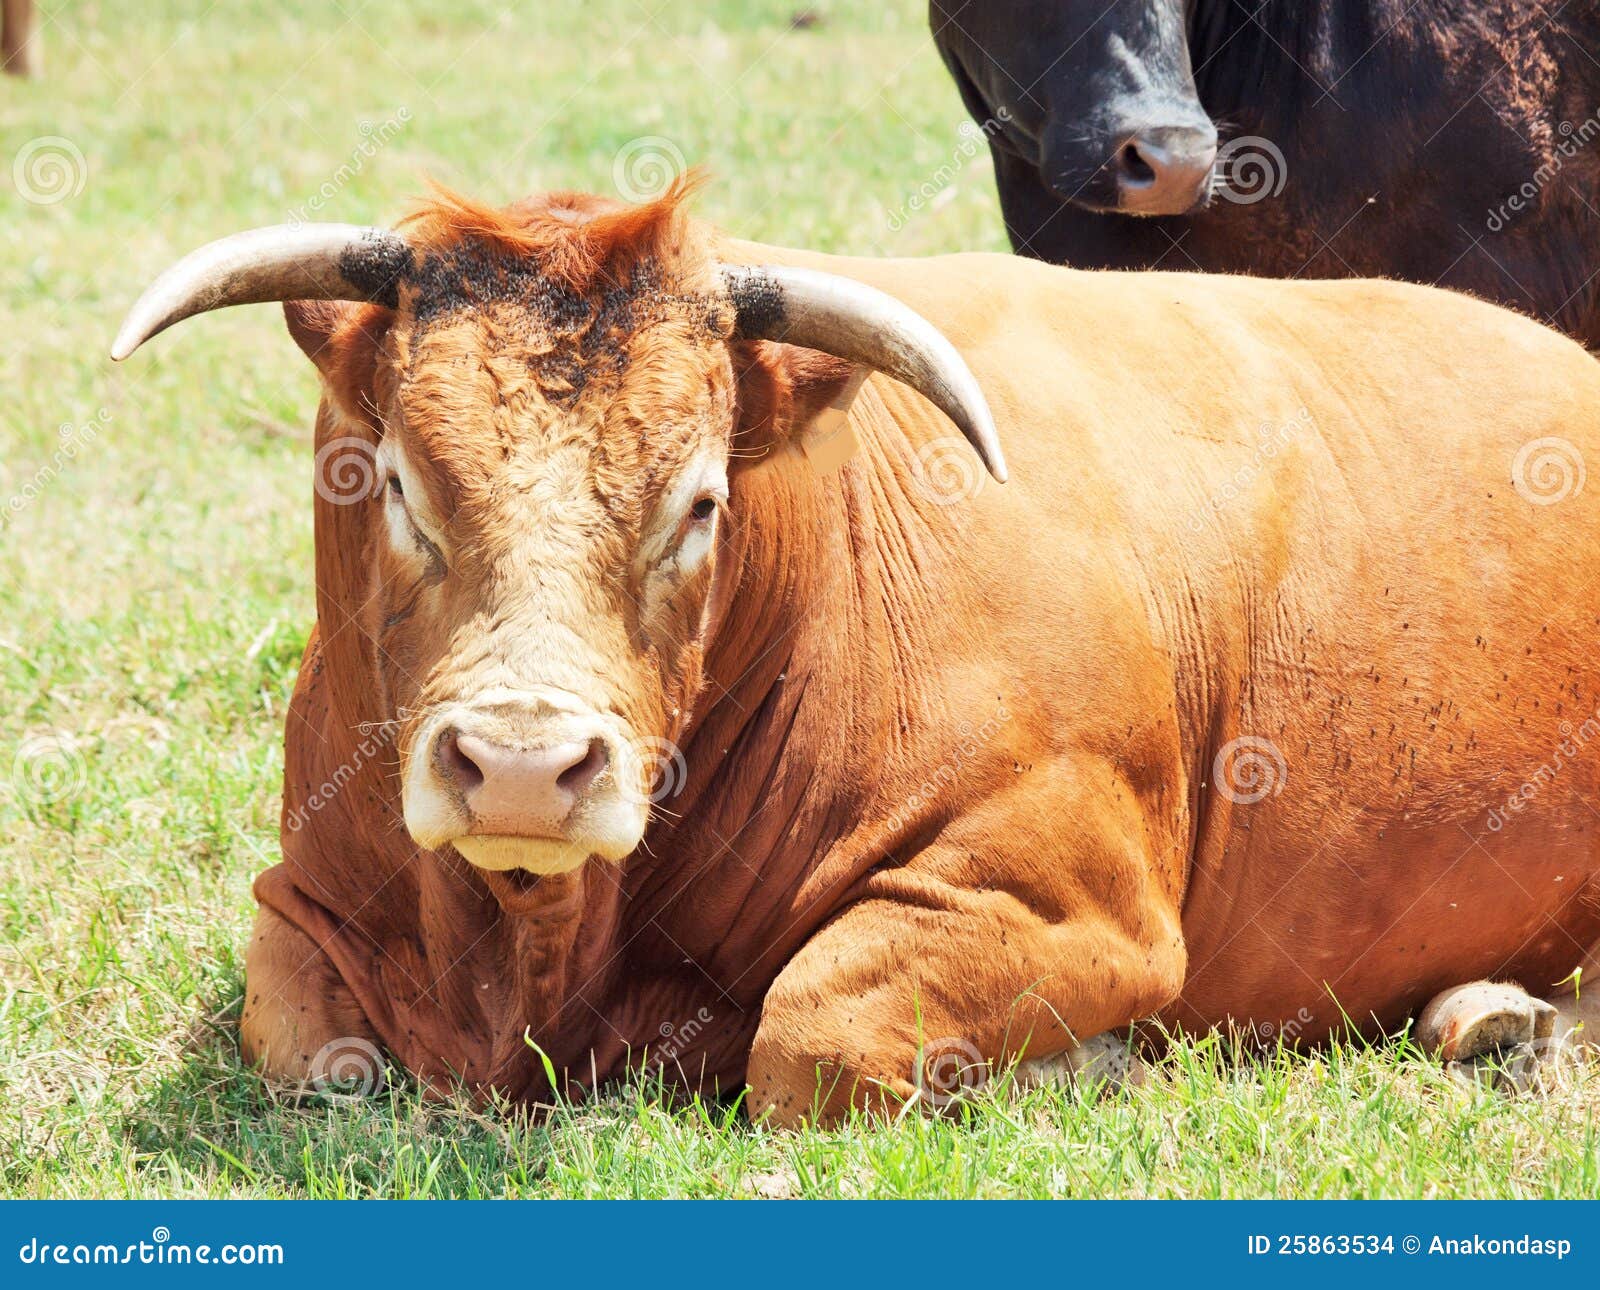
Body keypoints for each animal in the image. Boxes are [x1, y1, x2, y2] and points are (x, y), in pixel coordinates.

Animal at [114, 180, 1600, 1125]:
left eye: (699, 501)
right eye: (400, 485)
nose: (525, 767)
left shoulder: (1068, 900)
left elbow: (813, 1039)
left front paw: (1083, 1065)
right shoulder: (302, 903)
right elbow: (311, 1049)